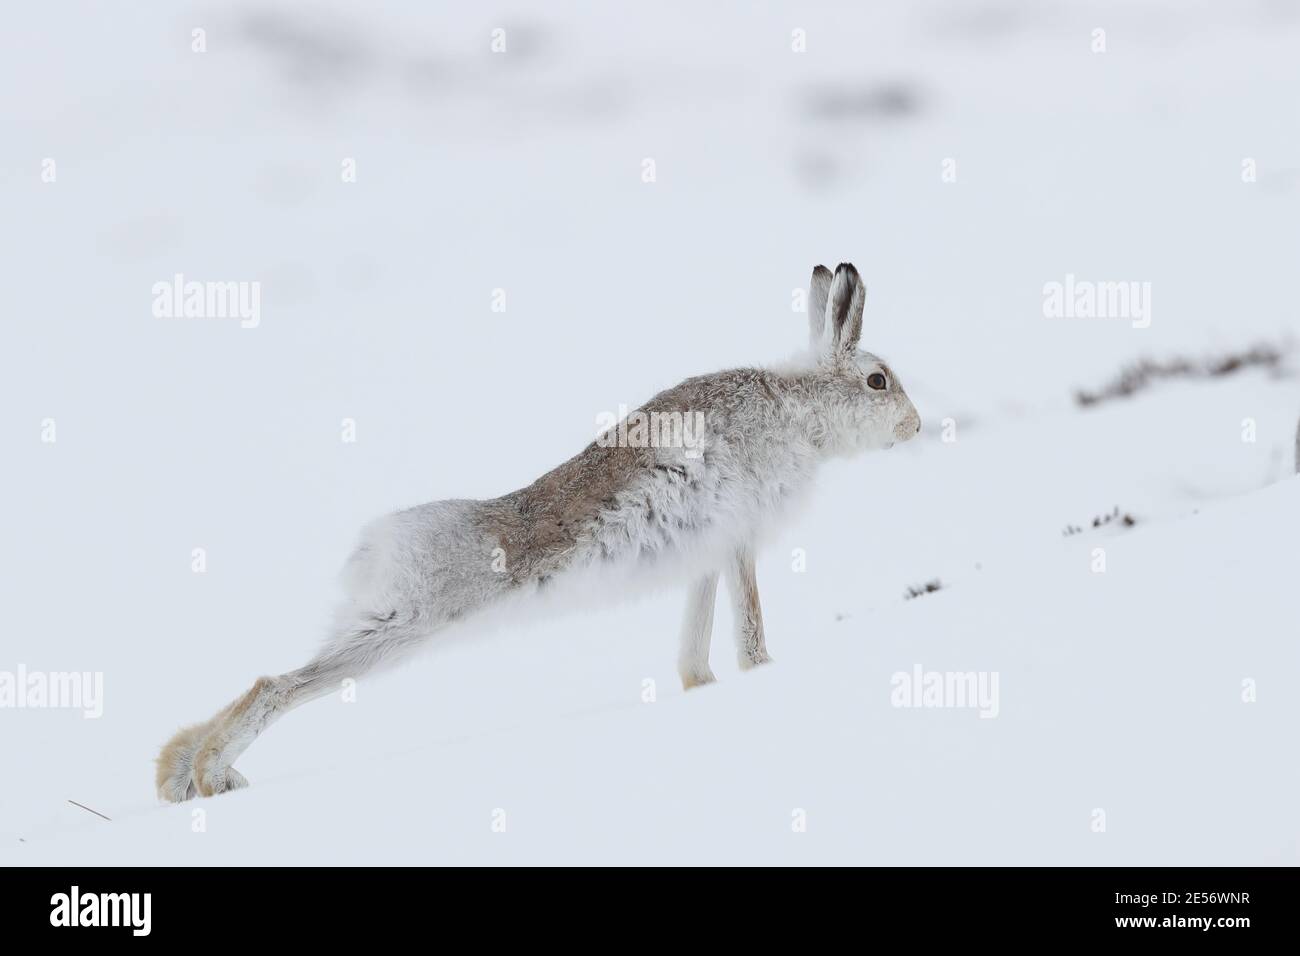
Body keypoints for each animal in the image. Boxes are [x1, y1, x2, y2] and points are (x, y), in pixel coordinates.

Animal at [156, 262, 921, 801]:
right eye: (879, 382)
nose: (915, 427)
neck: (800, 411)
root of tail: (375, 546)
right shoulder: (740, 540)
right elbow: (751, 626)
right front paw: (762, 675)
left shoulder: (707, 555)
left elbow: (695, 642)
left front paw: (701, 686)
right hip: (406, 625)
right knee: (275, 686)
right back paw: (214, 775)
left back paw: (183, 776)